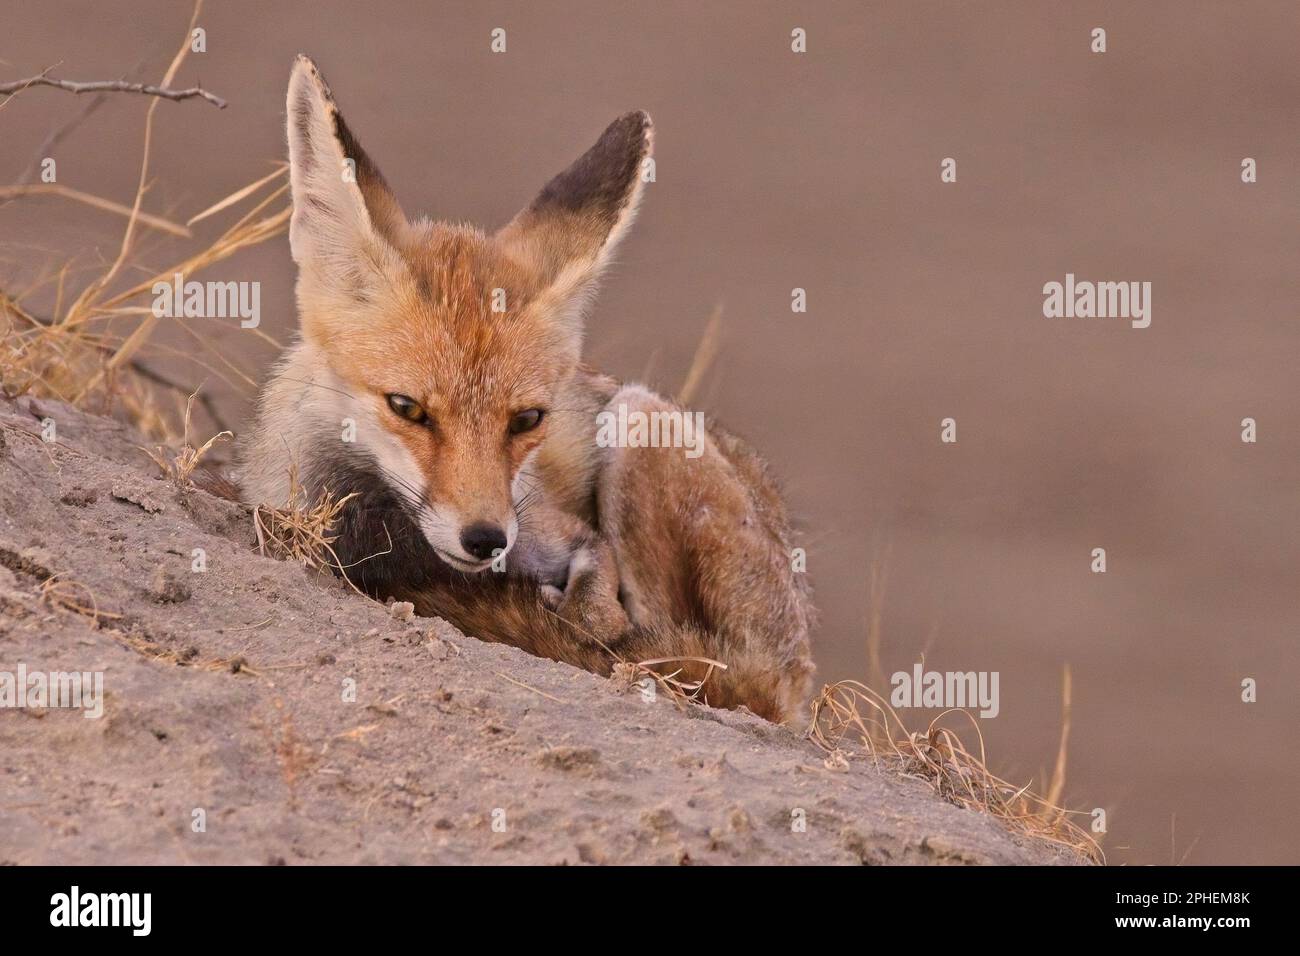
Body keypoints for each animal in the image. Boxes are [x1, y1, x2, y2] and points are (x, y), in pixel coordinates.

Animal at [237, 56, 815, 722]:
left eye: (528, 419)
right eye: (407, 408)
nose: (486, 540)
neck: (384, 538)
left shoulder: (562, 533)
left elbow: (601, 613)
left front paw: (569, 617)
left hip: (639, 418)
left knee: (688, 654)